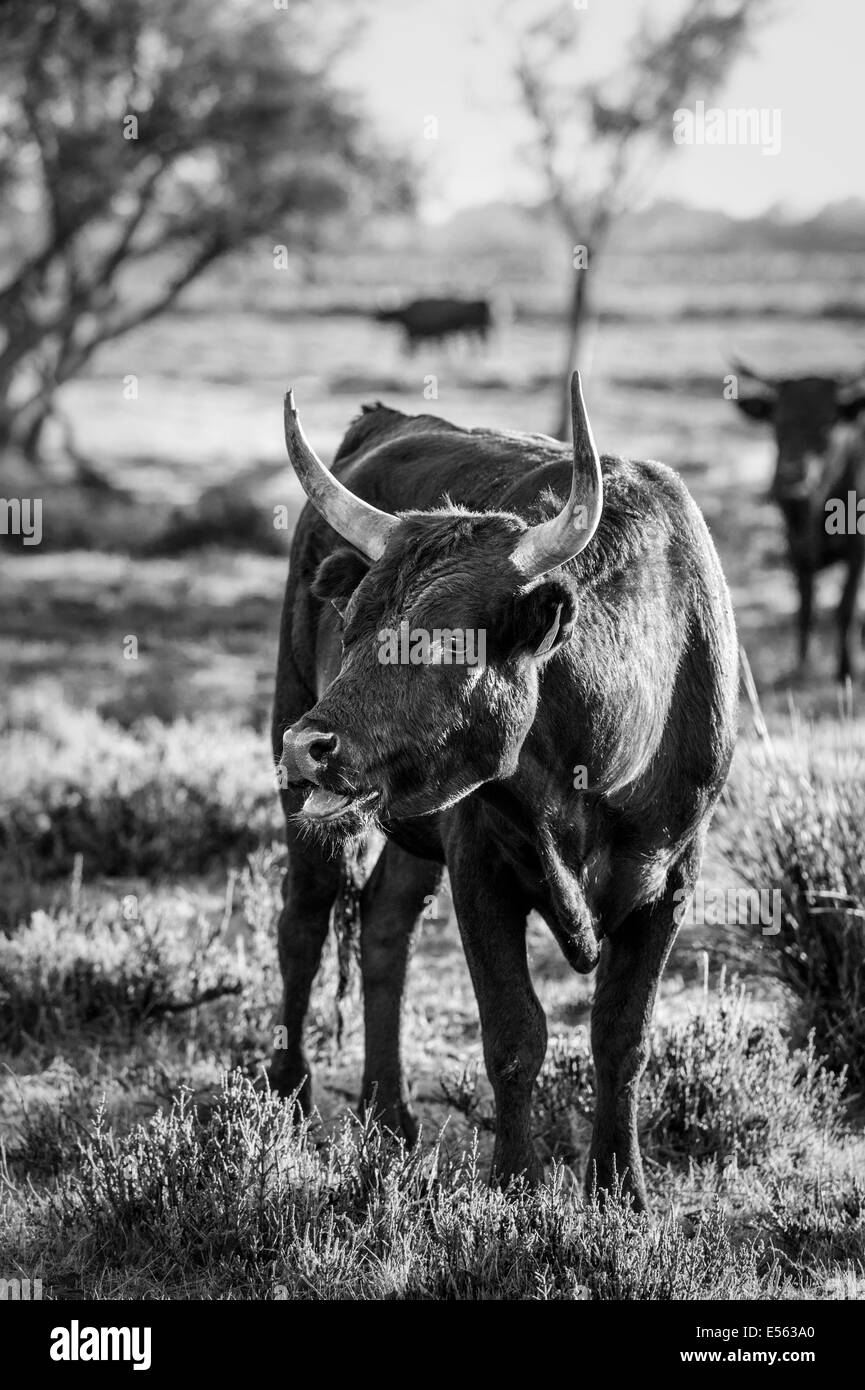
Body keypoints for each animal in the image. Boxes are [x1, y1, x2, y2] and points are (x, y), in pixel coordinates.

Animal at [271, 373, 738, 1210]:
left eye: (439, 641)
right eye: (352, 627)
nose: (309, 745)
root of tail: (388, 418)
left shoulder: (673, 877)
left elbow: (622, 1035)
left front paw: (619, 1186)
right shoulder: (482, 866)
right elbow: (515, 1033)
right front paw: (516, 1186)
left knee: (384, 926)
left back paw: (388, 1115)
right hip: (303, 770)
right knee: (303, 922)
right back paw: (290, 1100)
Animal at [733, 359, 865, 681]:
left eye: (828, 425)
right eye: (778, 422)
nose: (792, 484)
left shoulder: (859, 549)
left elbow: (846, 607)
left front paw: (847, 668)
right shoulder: (795, 547)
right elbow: (806, 608)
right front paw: (802, 667)